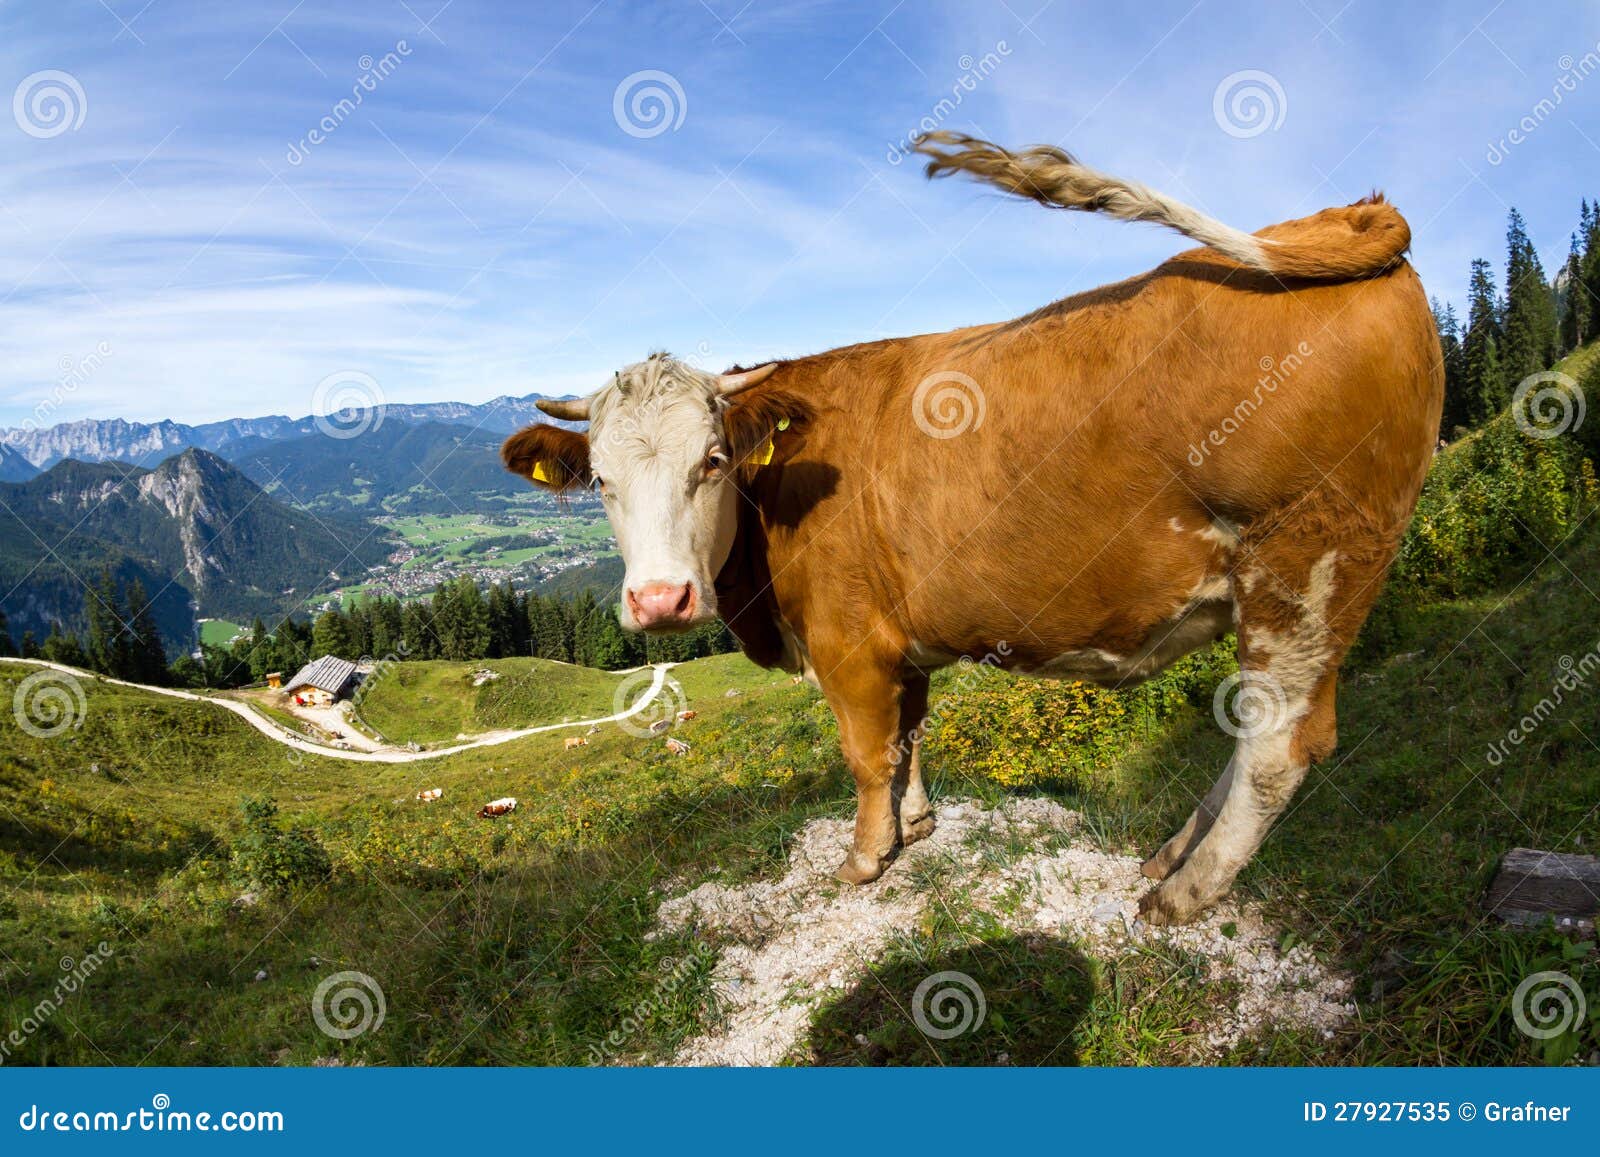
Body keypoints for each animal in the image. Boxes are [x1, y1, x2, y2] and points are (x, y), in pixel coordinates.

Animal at [502, 132, 1442, 925]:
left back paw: (1189, 889)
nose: (661, 601)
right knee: (1256, 734)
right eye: (603, 481)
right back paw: (1172, 854)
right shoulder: (902, 641)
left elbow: (866, 752)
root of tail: (1341, 217)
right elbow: (912, 732)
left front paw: (865, 855)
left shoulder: (847, 640)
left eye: (713, 460)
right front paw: (915, 824)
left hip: (1308, 561)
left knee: (1281, 744)